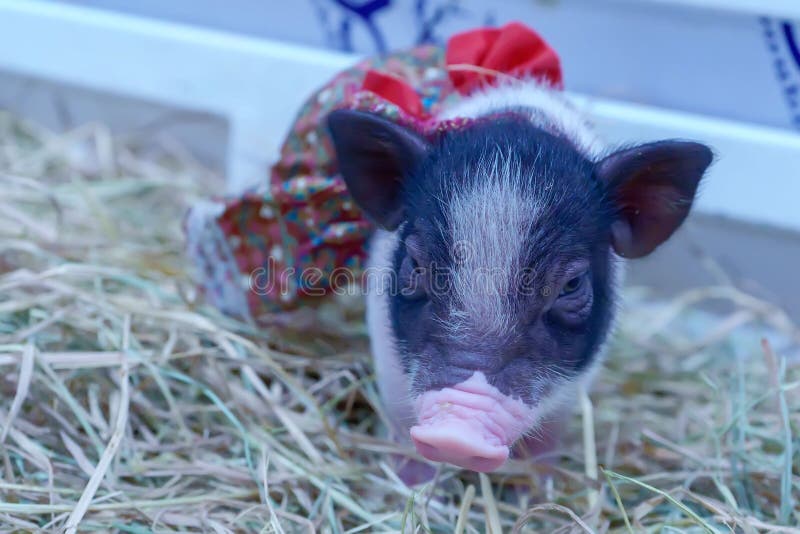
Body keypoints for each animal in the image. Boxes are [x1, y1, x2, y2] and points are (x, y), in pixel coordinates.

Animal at [327, 80, 713, 477]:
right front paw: (411, 482)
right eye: (416, 265)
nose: (457, 438)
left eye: (572, 285)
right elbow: (403, 428)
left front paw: (537, 481)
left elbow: (546, 441)